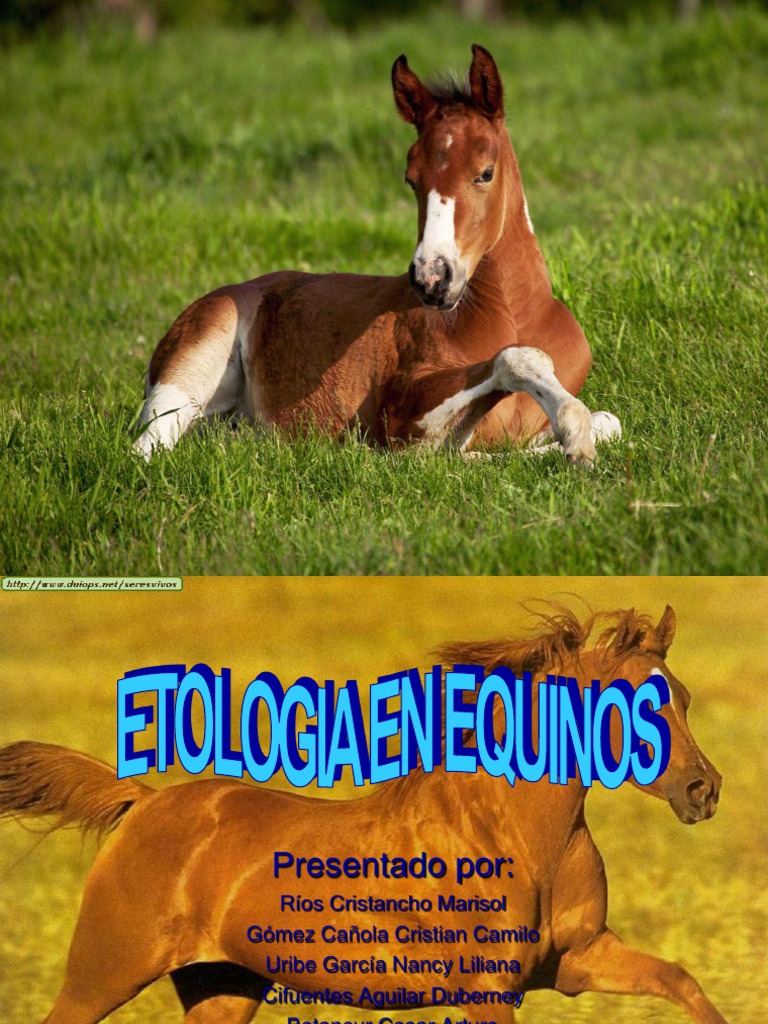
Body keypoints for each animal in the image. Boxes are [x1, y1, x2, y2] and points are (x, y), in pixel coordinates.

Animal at [0, 606, 728, 1024]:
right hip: (106, 972)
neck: (518, 841)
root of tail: (144, 802)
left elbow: (680, 980)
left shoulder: (576, 960)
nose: (705, 789)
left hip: (223, 986)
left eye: (683, 697)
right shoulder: (488, 988)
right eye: (635, 707)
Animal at [134, 45, 621, 463]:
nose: (431, 277)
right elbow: (512, 363)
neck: (515, 315)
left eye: (485, 172)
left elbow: (610, 422)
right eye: (411, 180)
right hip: (189, 368)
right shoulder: (402, 416)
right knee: (147, 446)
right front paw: (572, 435)